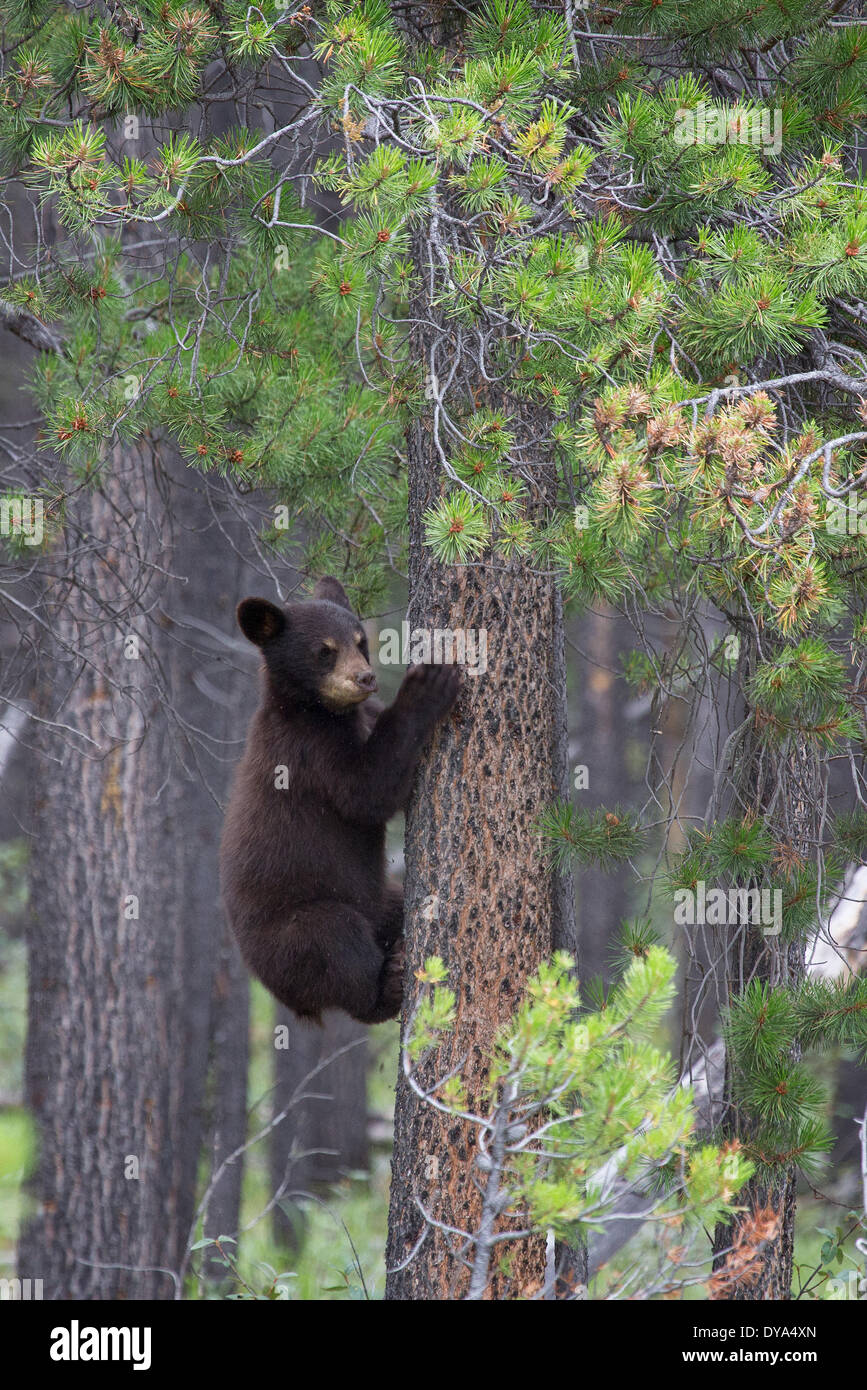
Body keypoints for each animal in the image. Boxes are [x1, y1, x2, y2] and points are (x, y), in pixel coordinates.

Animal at [219, 576, 462, 1024]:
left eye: (360, 641)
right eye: (324, 650)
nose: (365, 678)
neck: (318, 710)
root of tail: (293, 1002)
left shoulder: (358, 717)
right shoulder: (308, 752)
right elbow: (365, 791)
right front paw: (427, 685)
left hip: (380, 897)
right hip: (296, 931)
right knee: (337, 940)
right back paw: (389, 984)